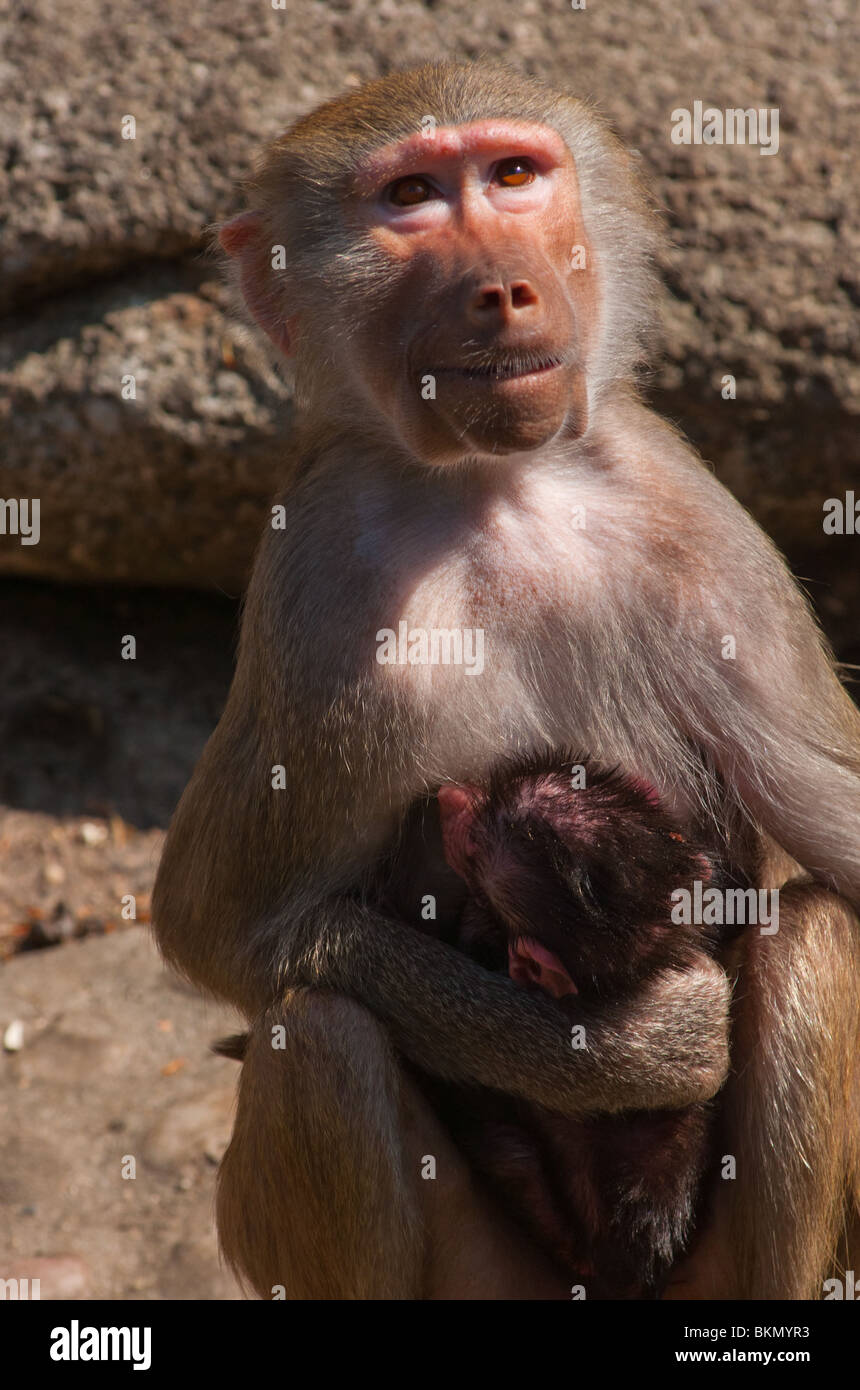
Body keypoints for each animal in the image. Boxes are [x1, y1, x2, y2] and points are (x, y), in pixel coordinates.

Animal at [152, 61, 860, 1299]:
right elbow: (222, 927)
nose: (503, 290)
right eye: (411, 197)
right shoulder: (313, 572)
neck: (496, 487)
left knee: (815, 936)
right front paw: (658, 1038)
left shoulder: (697, 520)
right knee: (315, 1037)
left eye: (514, 174)